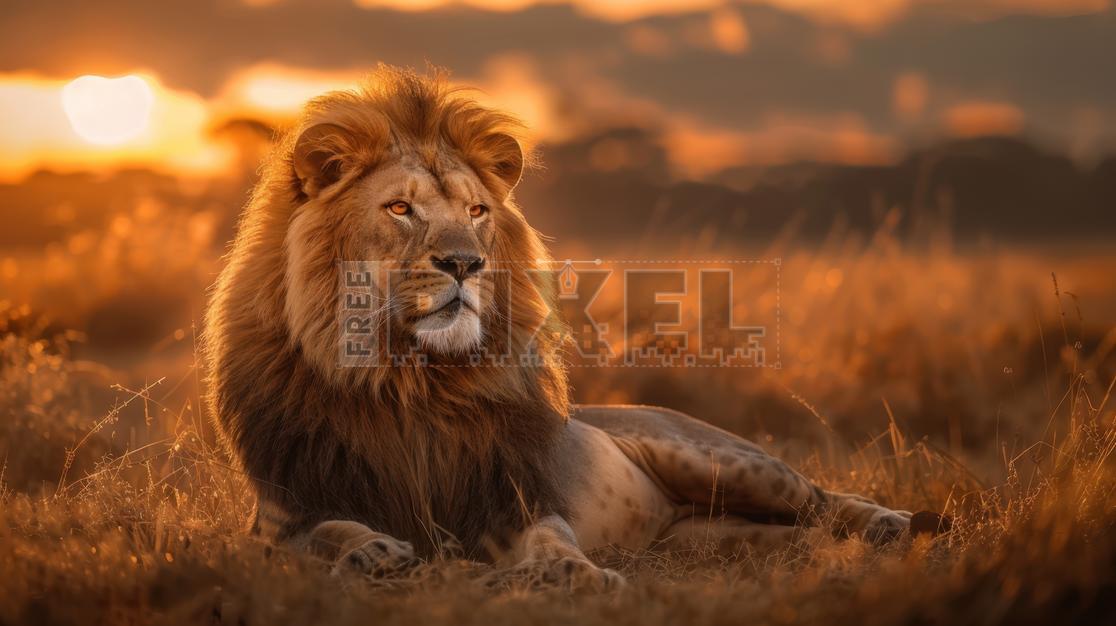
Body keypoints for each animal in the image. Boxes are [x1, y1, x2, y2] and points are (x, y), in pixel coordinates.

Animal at [204, 66, 925, 591]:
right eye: (401, 208)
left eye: (477, 211)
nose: (465, 262)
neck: (411, 382)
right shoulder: (279, 512)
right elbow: (321, 534)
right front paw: (372, 550)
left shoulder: (512, 495)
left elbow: (551, 536)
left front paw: (575, 574)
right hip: (713, 534)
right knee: (790, 535)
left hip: (721, 458)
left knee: (819, 495)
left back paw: (890, 523)